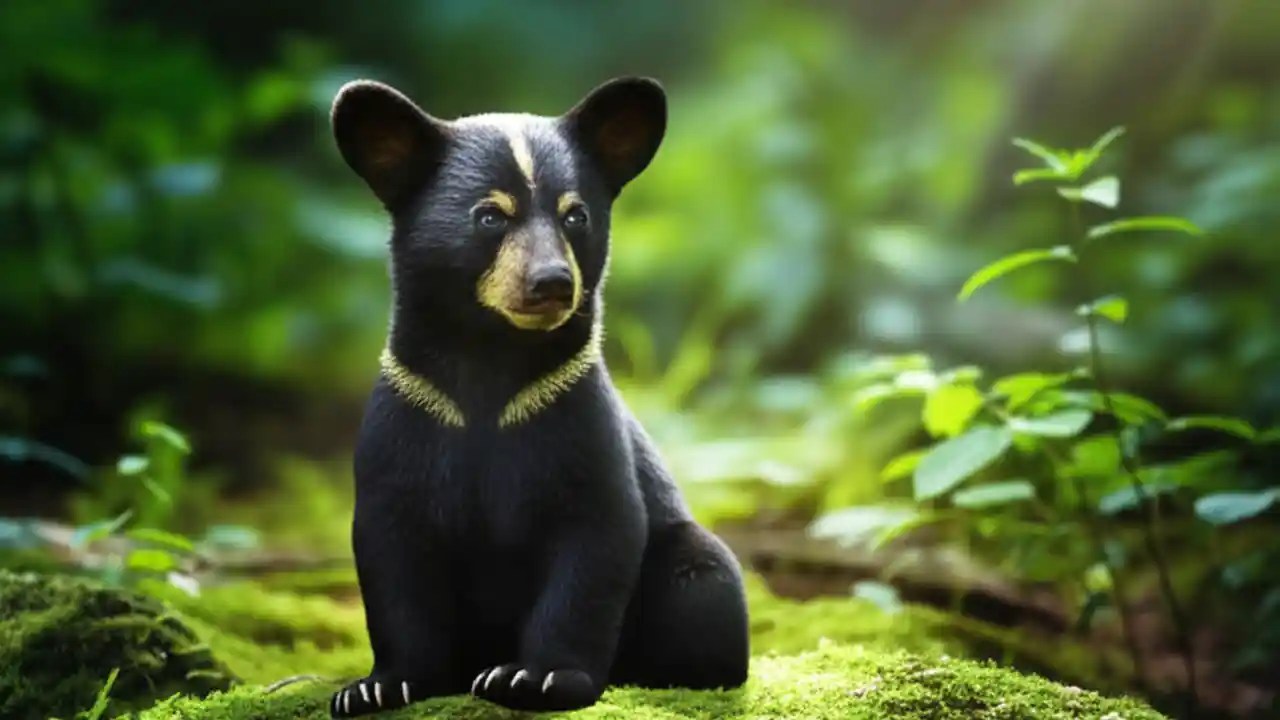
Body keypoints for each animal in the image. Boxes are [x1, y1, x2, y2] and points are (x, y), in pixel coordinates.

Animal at [327, 76, 750, 717]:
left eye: (575, 215)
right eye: (488, 216)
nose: (552, 281)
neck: (492, 364)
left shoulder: (580, 426)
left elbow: (594, 549)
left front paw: (536, 678)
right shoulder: (401, 433)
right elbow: (391, 562)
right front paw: (378, 687)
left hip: (688, 554)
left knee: (708, 581)